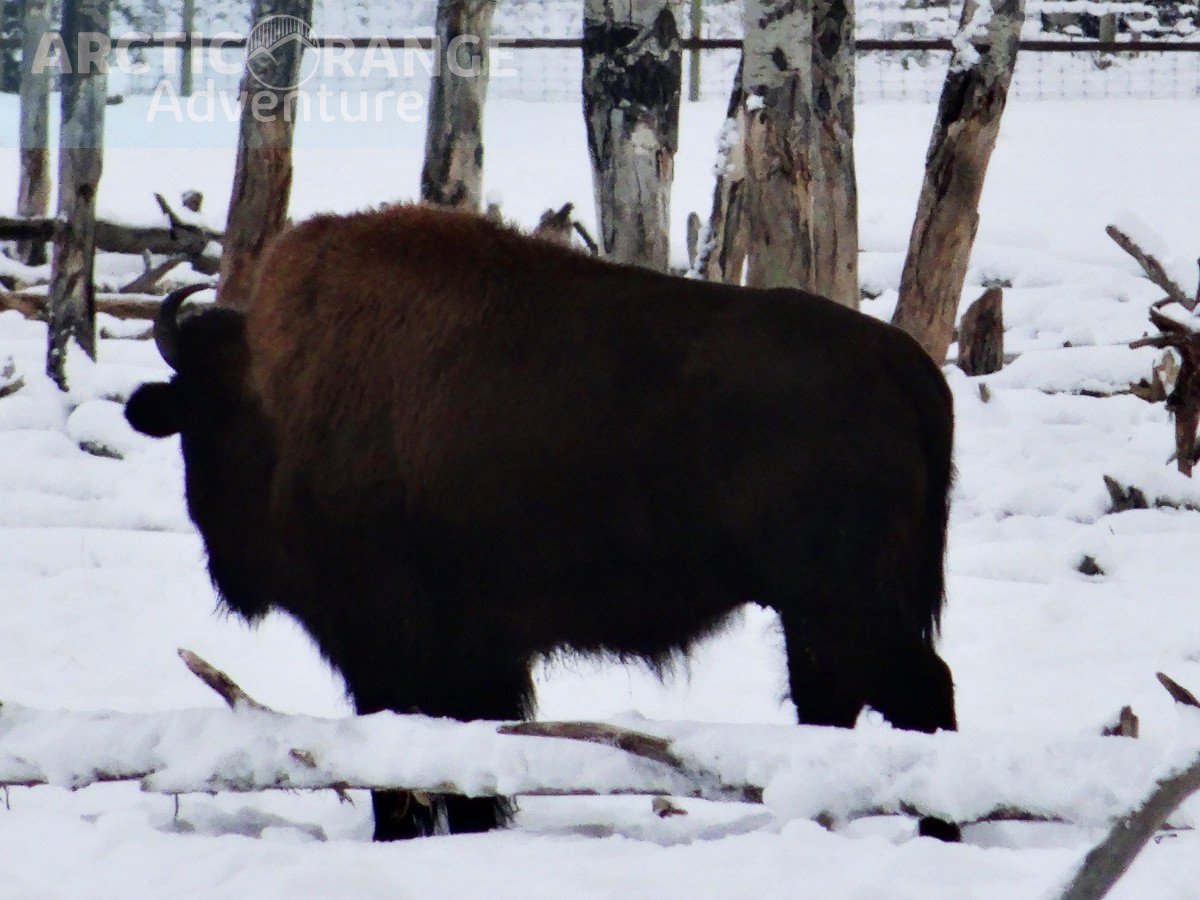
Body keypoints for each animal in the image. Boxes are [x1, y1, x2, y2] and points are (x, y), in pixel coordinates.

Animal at [125, 204, 957, 841]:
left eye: (198, 424)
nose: (227, 572)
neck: (273, 399)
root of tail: (900, 361)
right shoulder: (477, 651)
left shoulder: (385, 644)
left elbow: (399, 760)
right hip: (814, 614)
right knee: (837, 704)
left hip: (841, 604)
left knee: (921, 693)